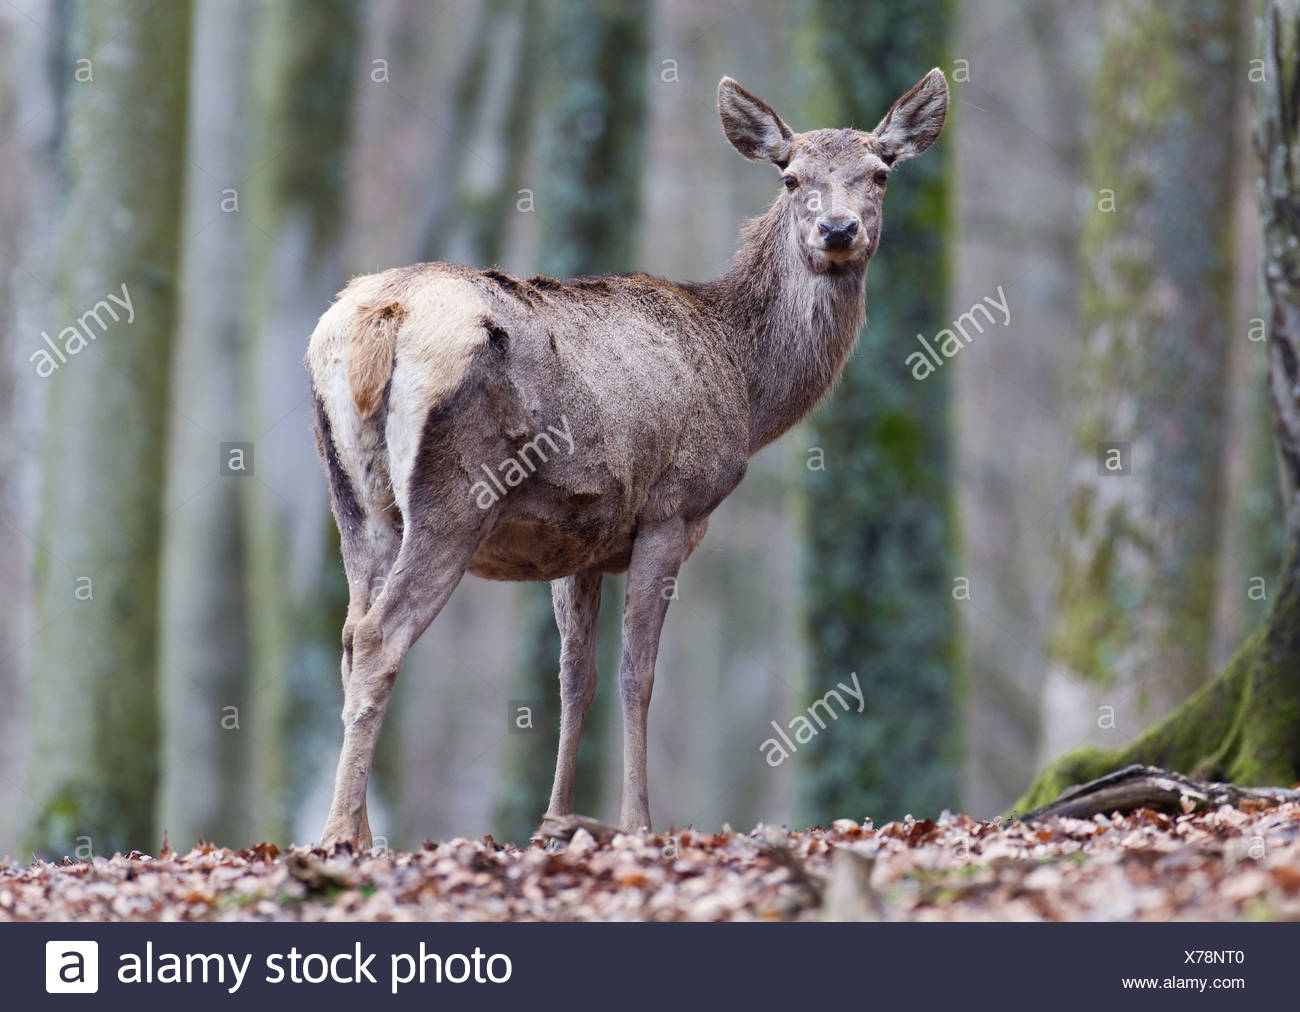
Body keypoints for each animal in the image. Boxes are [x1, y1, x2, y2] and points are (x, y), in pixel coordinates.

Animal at [307, 69, 949, 847]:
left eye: (880, 173)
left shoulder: (576, 538)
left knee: (347, 634)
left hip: (356, 500)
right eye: (792, 177)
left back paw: (360, 829)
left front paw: (556, 823)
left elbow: (574, 676)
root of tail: (382, 318)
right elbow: (636, 674)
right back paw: (339, 834)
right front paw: (637, 822)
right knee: (379, 636)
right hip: (454, 497)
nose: (838, 231)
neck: (745, 385)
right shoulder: (675, 507)